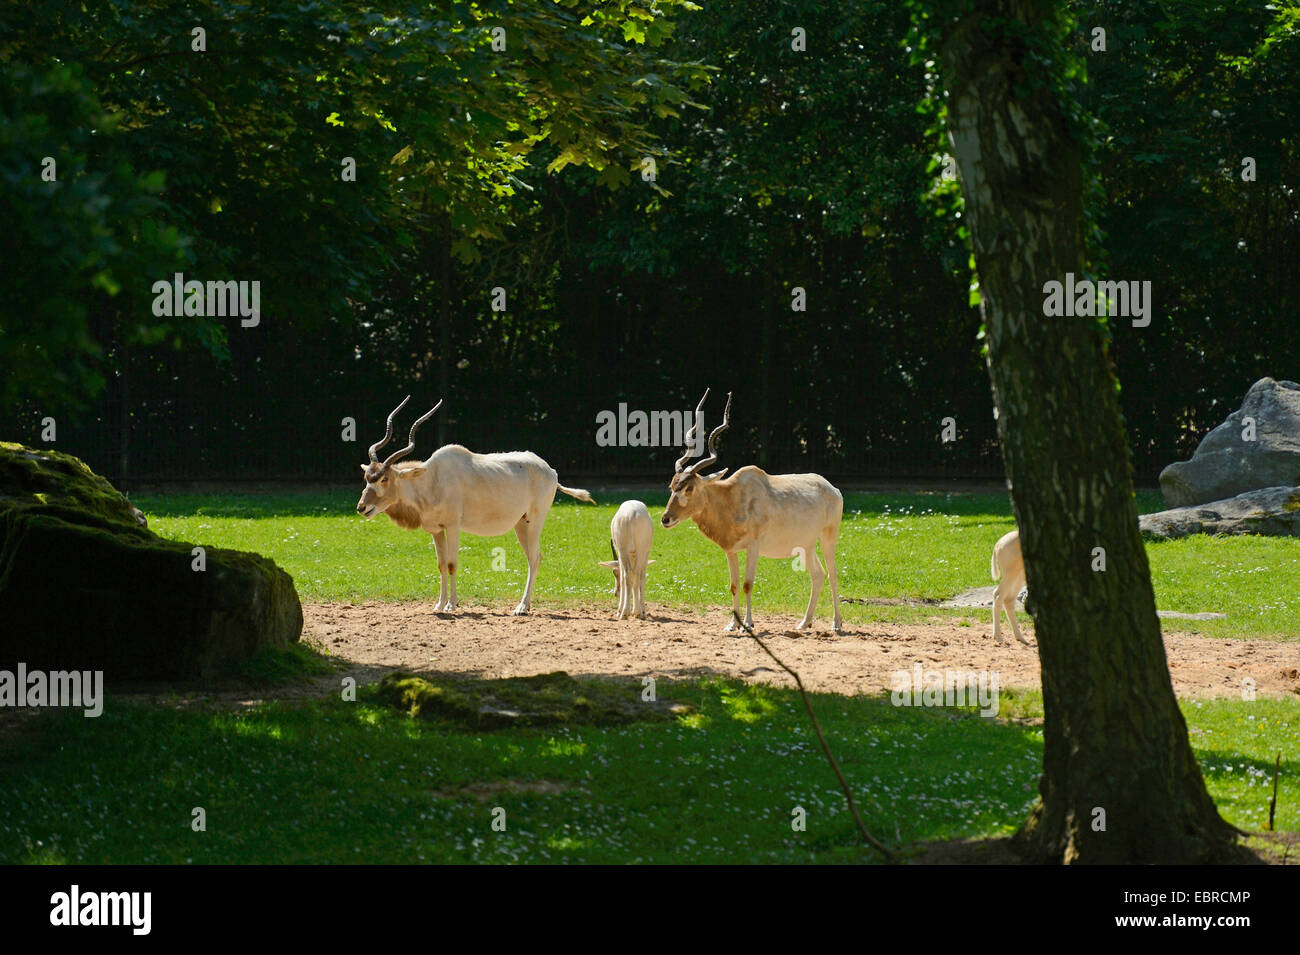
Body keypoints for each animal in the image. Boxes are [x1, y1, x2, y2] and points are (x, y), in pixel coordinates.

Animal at [356, 396, 594, 615]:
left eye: (384, 479)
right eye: (367, 477)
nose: (362, 508)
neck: (432, 480)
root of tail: (551, 471)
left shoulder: (453, 526)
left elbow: (451, 564)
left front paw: (451, 605)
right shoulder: (436, 530)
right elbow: (441, 565)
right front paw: (439, 605)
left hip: (535, 521)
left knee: (534, 559)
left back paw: (521, 607)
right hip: (521, 524)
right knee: (533, 558)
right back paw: (524, 605)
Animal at [660, 390, 844, 633]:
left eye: (689, 488)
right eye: (672, 485)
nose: (665, 519)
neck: (732, 498)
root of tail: (832, 489)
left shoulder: (753, 547)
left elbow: (748, 584)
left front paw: (747, 623)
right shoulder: (730, 550)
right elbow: (734, 585)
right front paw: (732, 624)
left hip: (828, 538)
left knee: (832, 574)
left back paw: (836, 624)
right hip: (806, 545)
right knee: (818, 575)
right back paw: (804, 623)